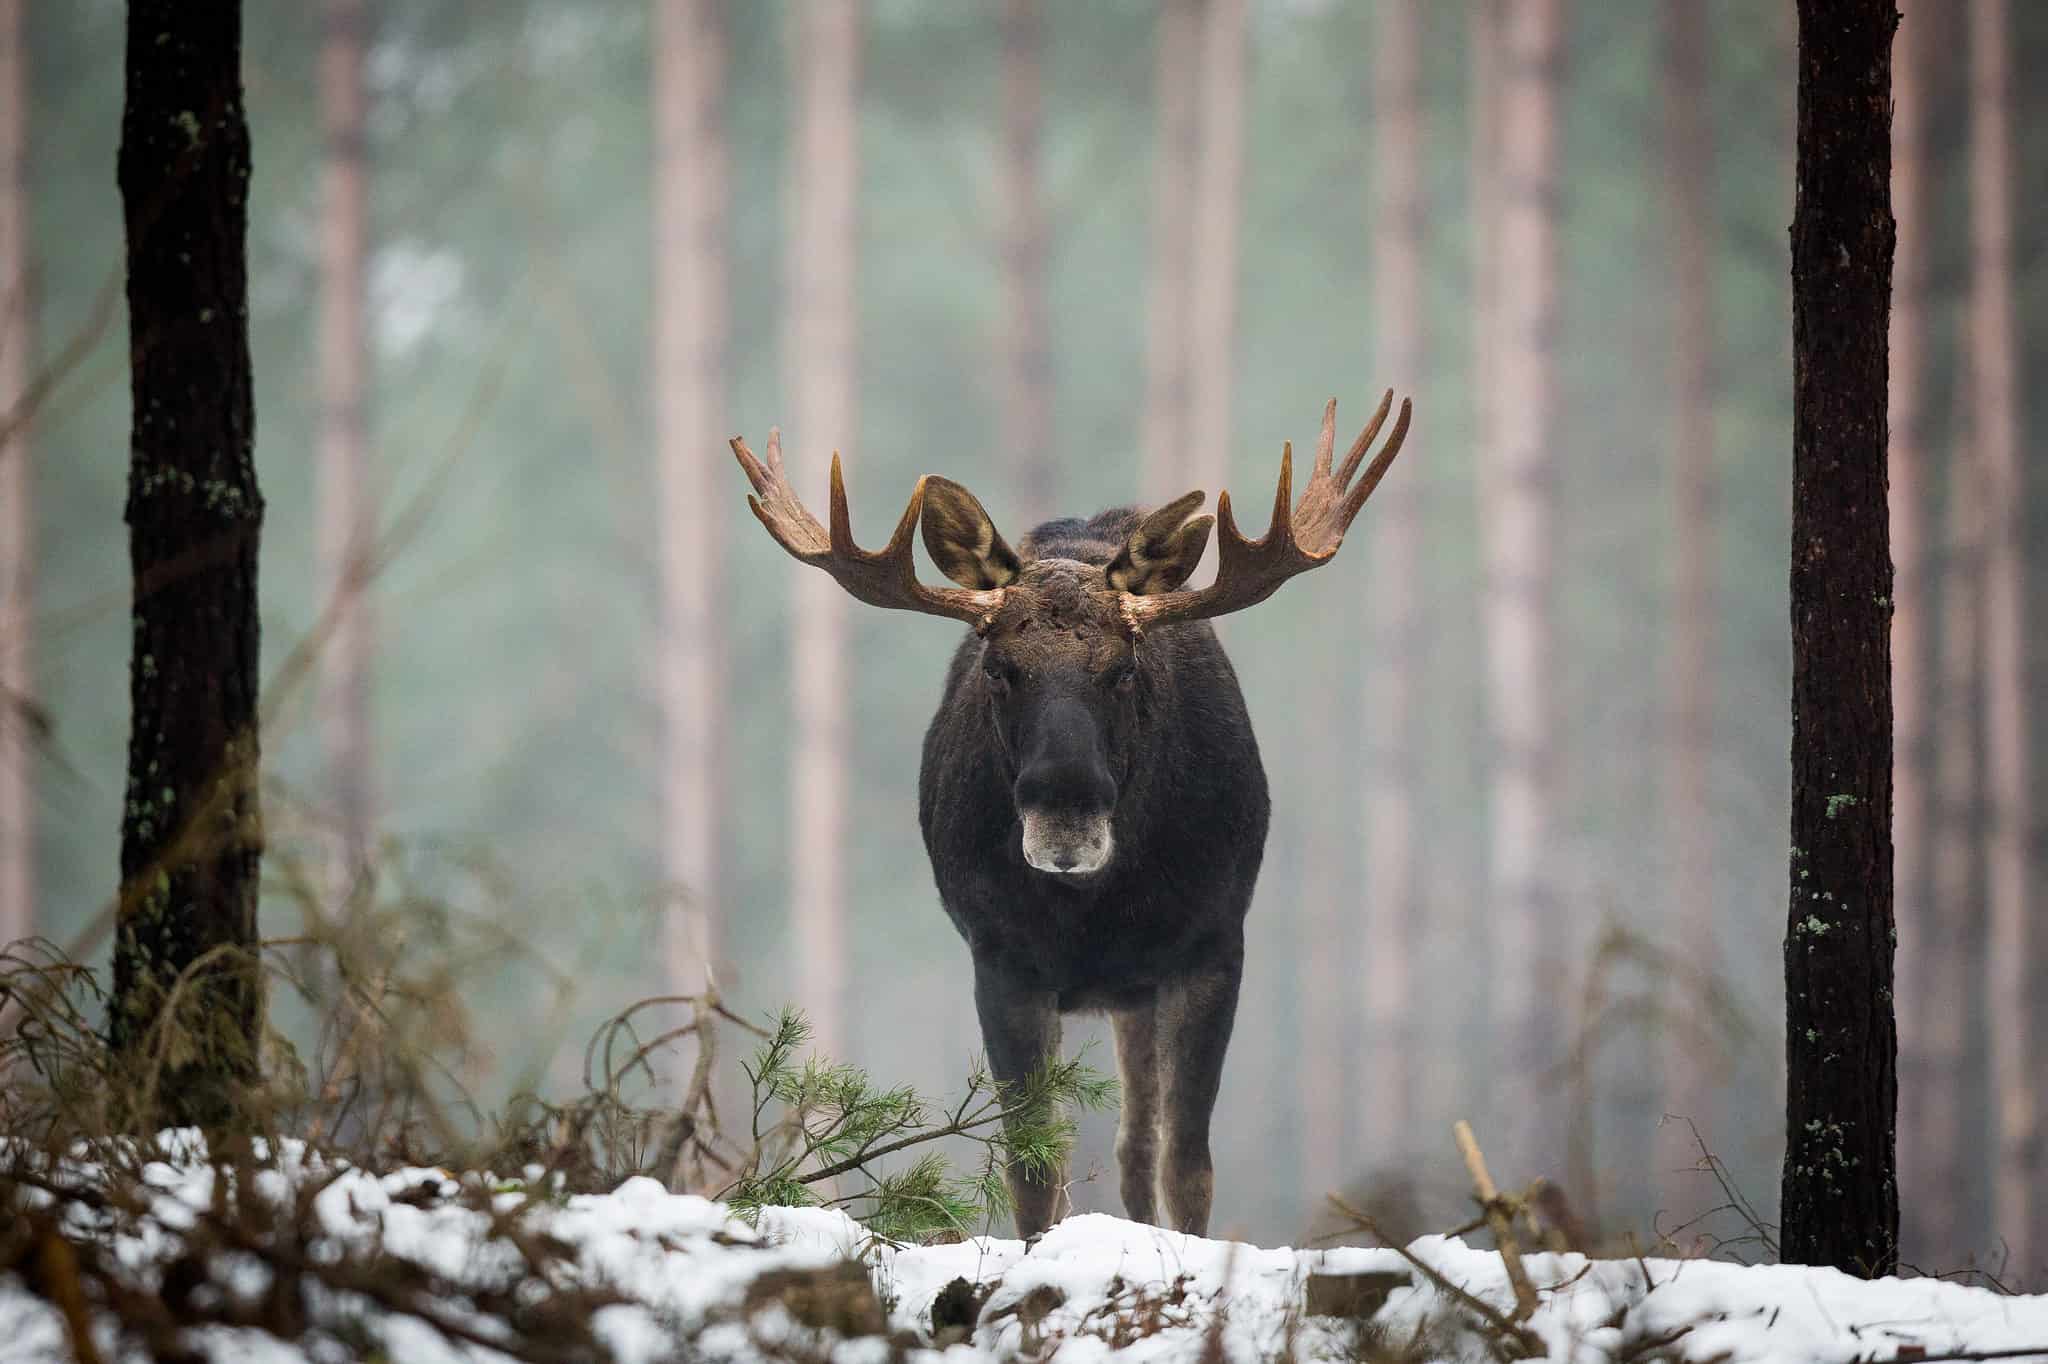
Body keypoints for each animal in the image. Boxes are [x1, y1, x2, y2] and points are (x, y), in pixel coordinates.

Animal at [730, 391, 1411, 1238]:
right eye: (998, 668)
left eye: (1123, 668)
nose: (1065, 811)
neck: (1095, 911)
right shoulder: (1000, 956)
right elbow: (1033, 1170)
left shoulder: (1215, 944)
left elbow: (1188, 1165)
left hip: (1143, 989)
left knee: (1138, 1147)